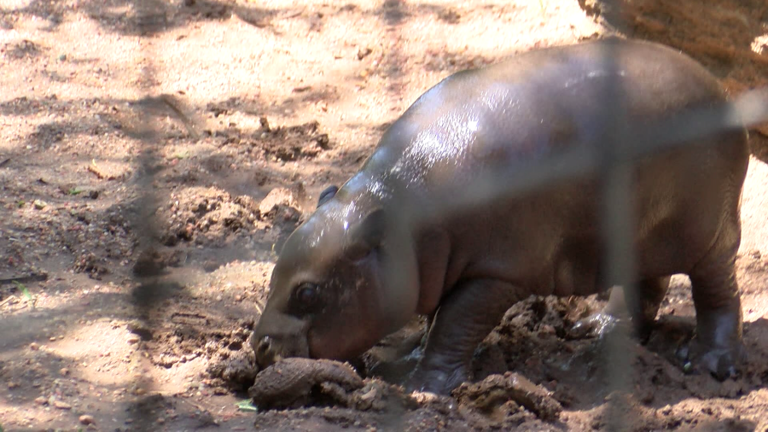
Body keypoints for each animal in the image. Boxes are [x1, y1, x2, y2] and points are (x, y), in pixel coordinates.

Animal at [251, 38, 749, 395]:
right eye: (274, 270)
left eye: (308, 293)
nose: (258, 346)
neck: (393, 200)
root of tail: (721, 91)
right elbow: (437, 321)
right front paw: (410, 357)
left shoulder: (496, 272)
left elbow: (454, 324)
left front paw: (423, 384)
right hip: (644, 229)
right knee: (647, 283)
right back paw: (597, 333)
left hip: (711, 232)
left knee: (718, 290)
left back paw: (708, 363)